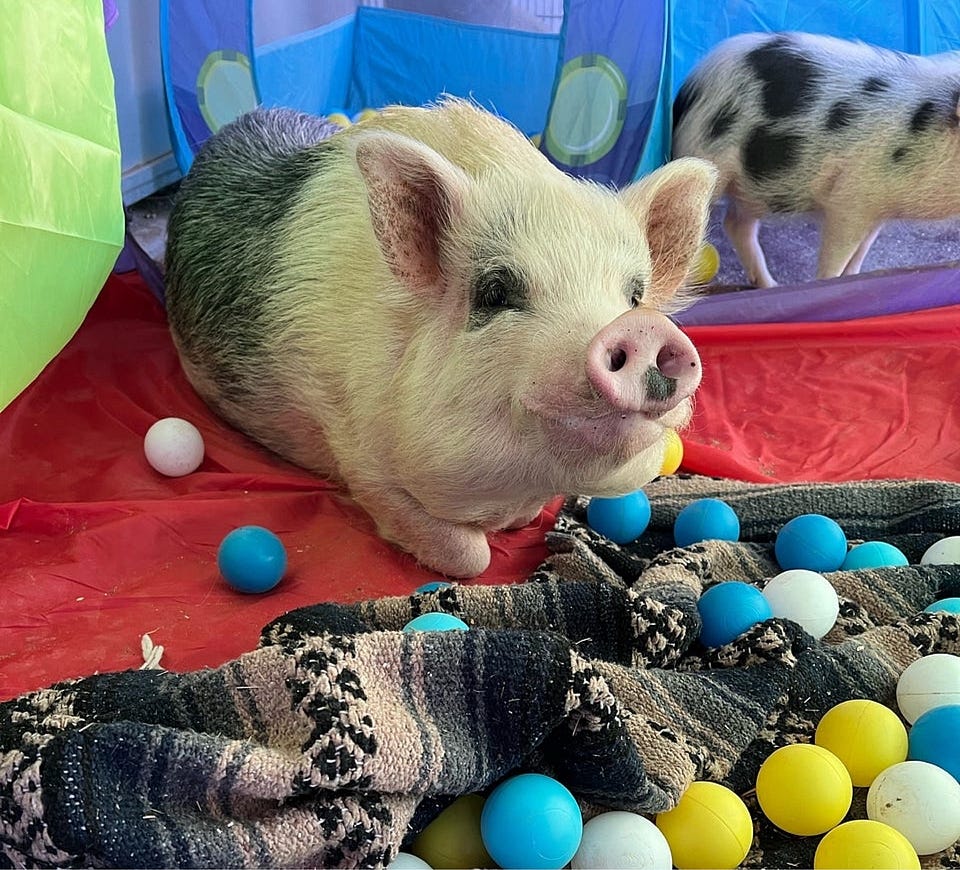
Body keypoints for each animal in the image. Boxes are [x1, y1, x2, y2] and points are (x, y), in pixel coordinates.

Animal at [164, 97, 716, 577]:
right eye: (495, 292)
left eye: (635, 296)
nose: (640, 327)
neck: (515, 484)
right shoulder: (355, 450)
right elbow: (469, 556)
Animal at [672, 31, 960, 287]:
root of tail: (691, 85)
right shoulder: (849, 200)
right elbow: (836, 256)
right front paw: (825, 284)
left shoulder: (875, 208)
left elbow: (860, 252)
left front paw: (854, 277)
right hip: (706, 157)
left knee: (736, 224)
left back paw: (770, 286)